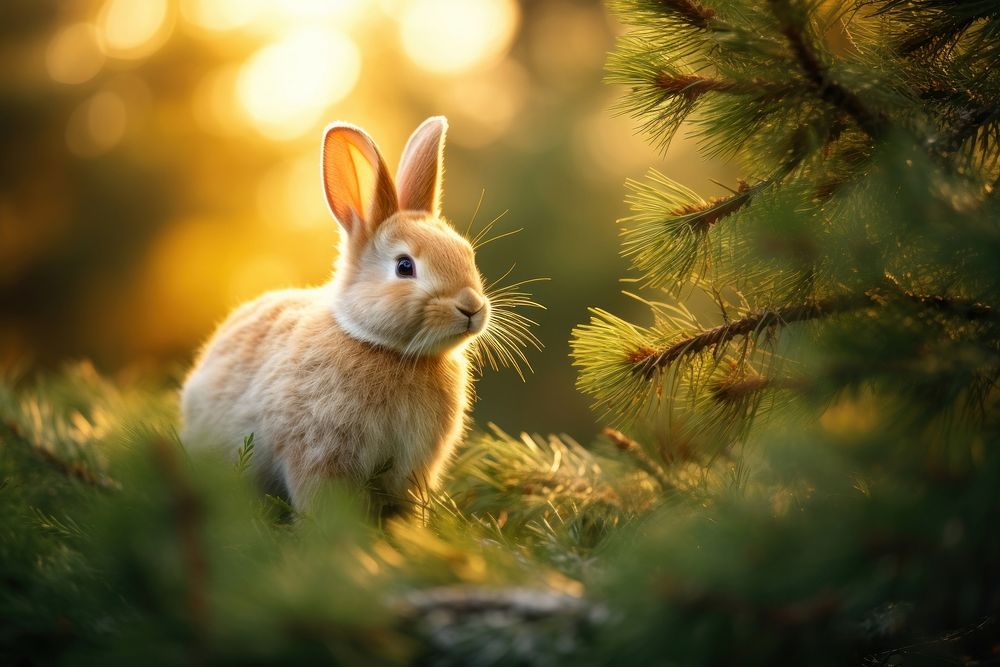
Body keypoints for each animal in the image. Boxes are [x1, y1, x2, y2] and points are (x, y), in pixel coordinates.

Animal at [180, 116, 490, 512]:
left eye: (467, 253)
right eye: (405, 266)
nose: (471, 307)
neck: (391, 351)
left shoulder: (409, 472)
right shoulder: (318, 453)